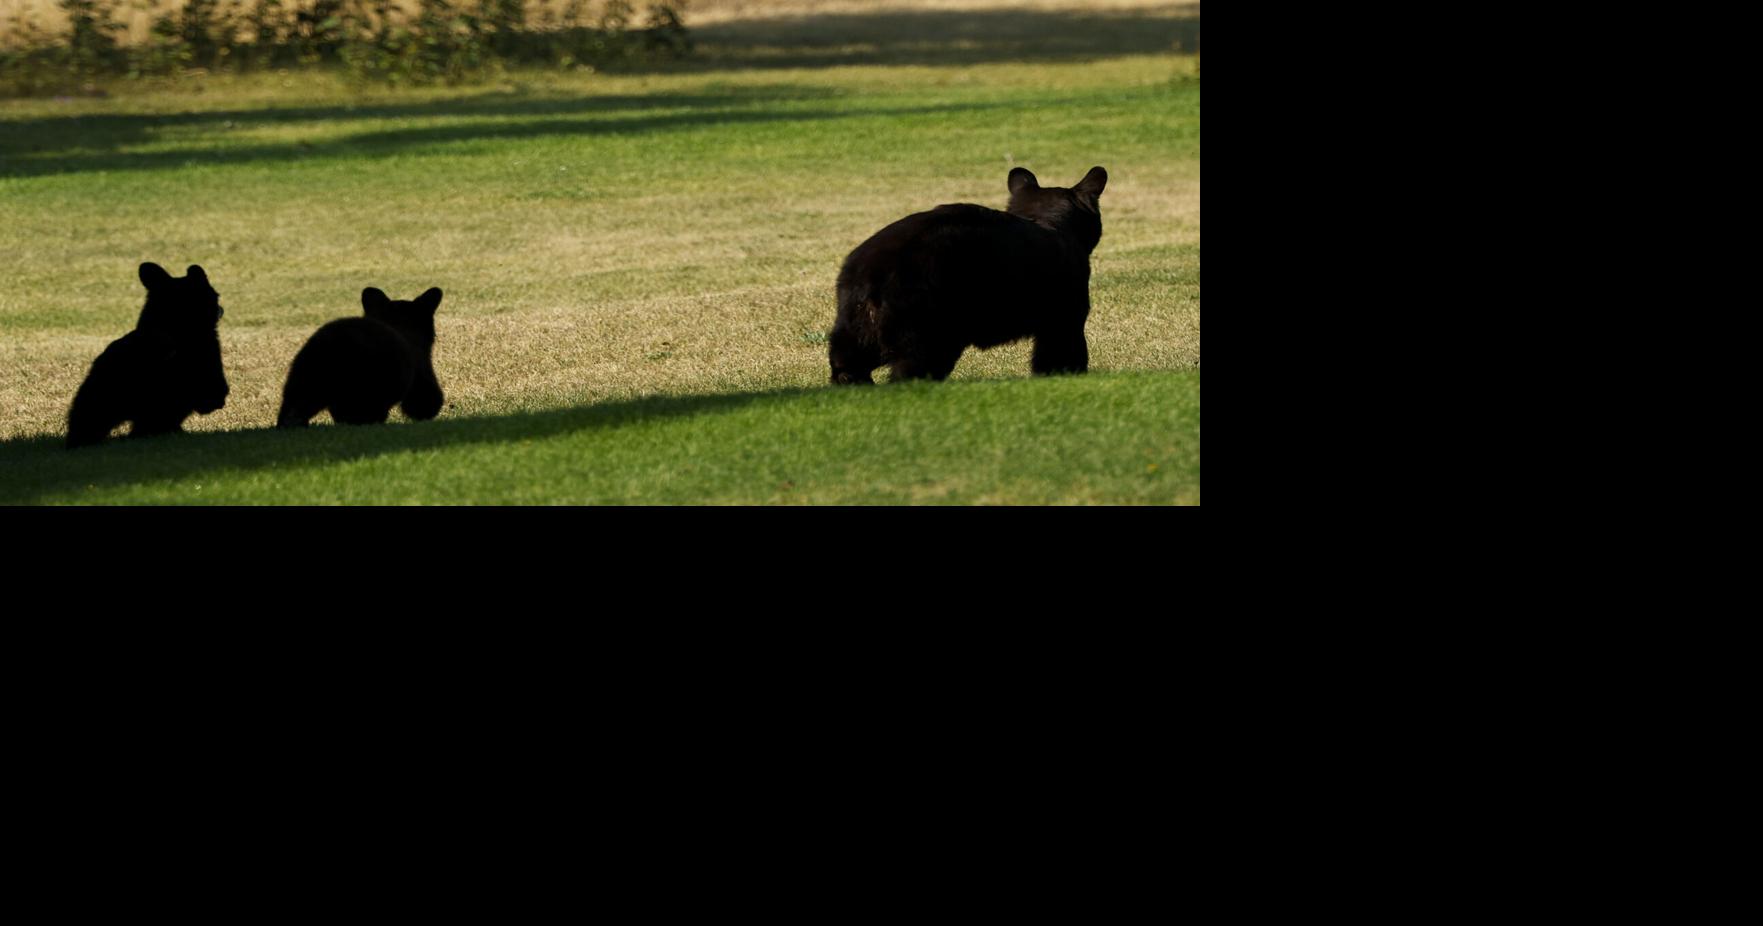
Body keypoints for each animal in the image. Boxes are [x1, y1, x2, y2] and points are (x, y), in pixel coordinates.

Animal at [277, 286, 444, 428]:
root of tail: (331, 344)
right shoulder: (419, 364)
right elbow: (424, 394)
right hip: (367, 379)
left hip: (304, 372)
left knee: (296, 402)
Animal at [828, 166, 1108, 384]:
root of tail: (871, 274)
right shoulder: (1066, 303)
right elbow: (1061, 344)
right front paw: (1065, 373)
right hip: (927, 317)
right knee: (916, 362)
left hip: (854, 318)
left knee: (847, 357)